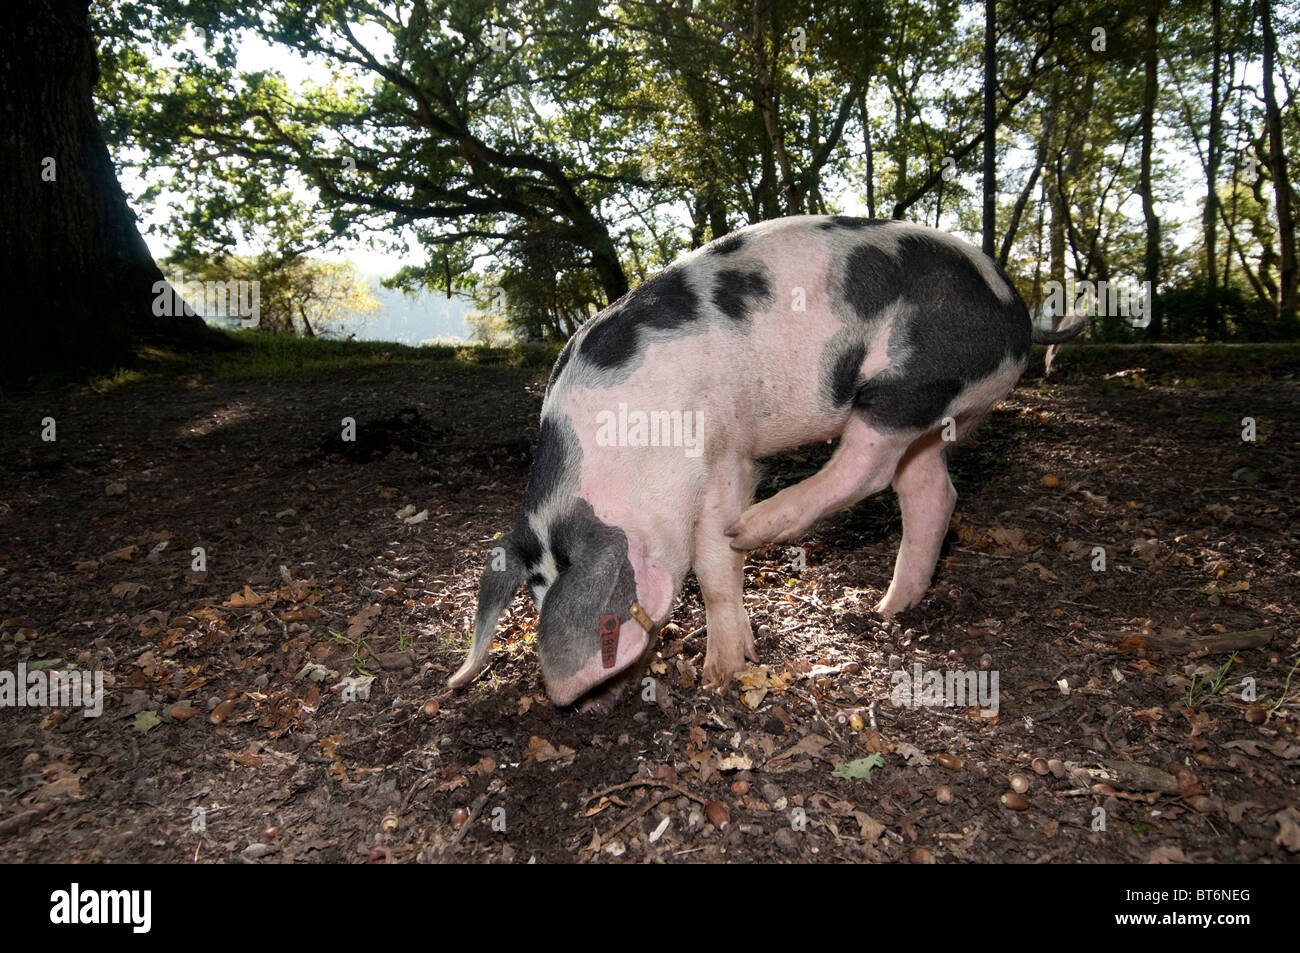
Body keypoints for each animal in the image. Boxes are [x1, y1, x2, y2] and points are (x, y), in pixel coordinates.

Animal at [448, 215, 1083, 706]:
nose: (586, 699)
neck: (625, 448)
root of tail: (1014, 304)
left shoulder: (722, 450)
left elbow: (713, 559)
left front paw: (722, 673)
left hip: (912, 377)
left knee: (870, 465)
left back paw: (757, 529)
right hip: (934, 419)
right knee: (931, 492)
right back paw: (888, 610)